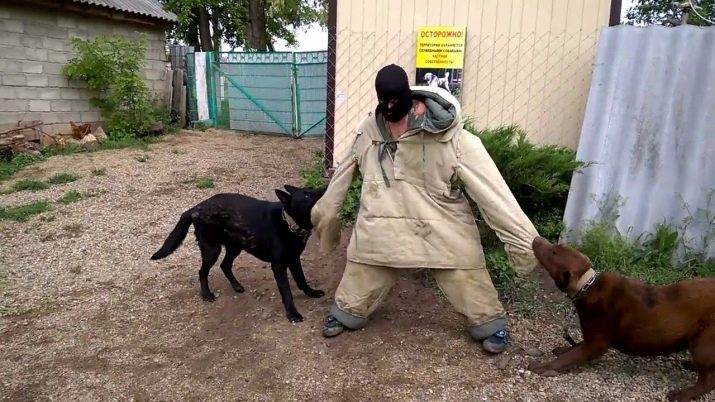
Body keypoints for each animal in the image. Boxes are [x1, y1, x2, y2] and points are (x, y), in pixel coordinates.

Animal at [154, 184, 330, 322]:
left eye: (311, 189)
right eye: (307, 194)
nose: (325, 188)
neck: (289, 222)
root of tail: (198, 207)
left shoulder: (294, 259)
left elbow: (301, 280)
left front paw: (311, 293)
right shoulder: (279, 265)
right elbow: (286, 291)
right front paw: (292, 314)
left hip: (235, 247)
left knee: (225, 266)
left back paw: (236, 286)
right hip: (212, 250)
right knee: (202, 272)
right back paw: (206, 294)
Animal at [528, 237, 715, 400]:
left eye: (553, 252)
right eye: (556, 246)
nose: (537, 238)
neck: (587, 285)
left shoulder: (596, 343)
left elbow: (568, 357)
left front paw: (542, 366)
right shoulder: (591, 339)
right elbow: (574, 347)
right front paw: (562, 349)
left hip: (703, 340)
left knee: (708, 380)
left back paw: (682, 394)